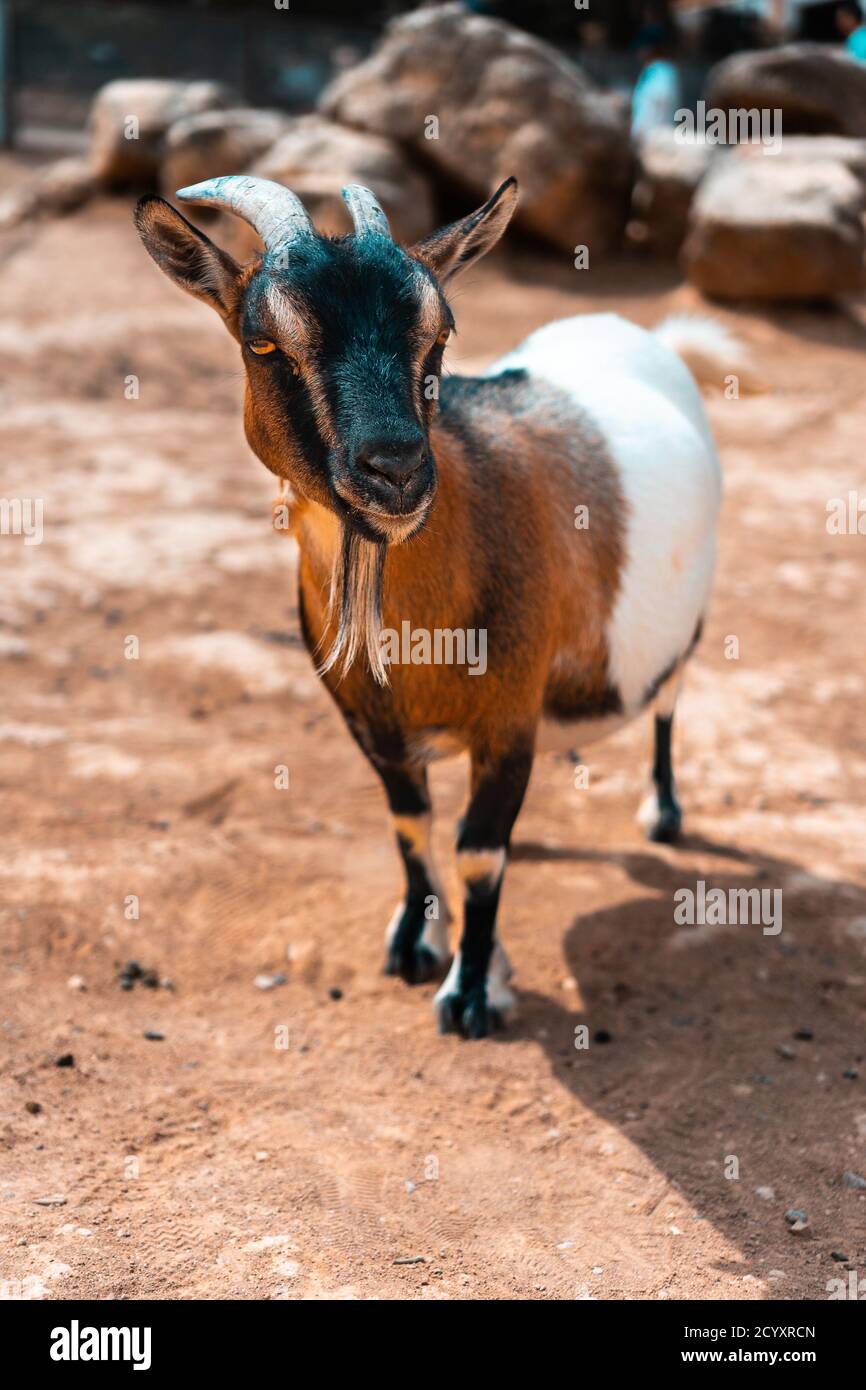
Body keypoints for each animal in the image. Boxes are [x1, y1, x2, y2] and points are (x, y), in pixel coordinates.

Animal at [134, 175, 723, 1039]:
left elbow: (479, 854)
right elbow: (412, 827)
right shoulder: (369, 725)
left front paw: (471, 993)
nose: (396, 468)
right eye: (264, 343)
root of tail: (634, 331)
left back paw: (665, 811)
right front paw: (415, 941)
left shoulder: (507, 717)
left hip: (690, 619)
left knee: (671, 699)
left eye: (439, 335)